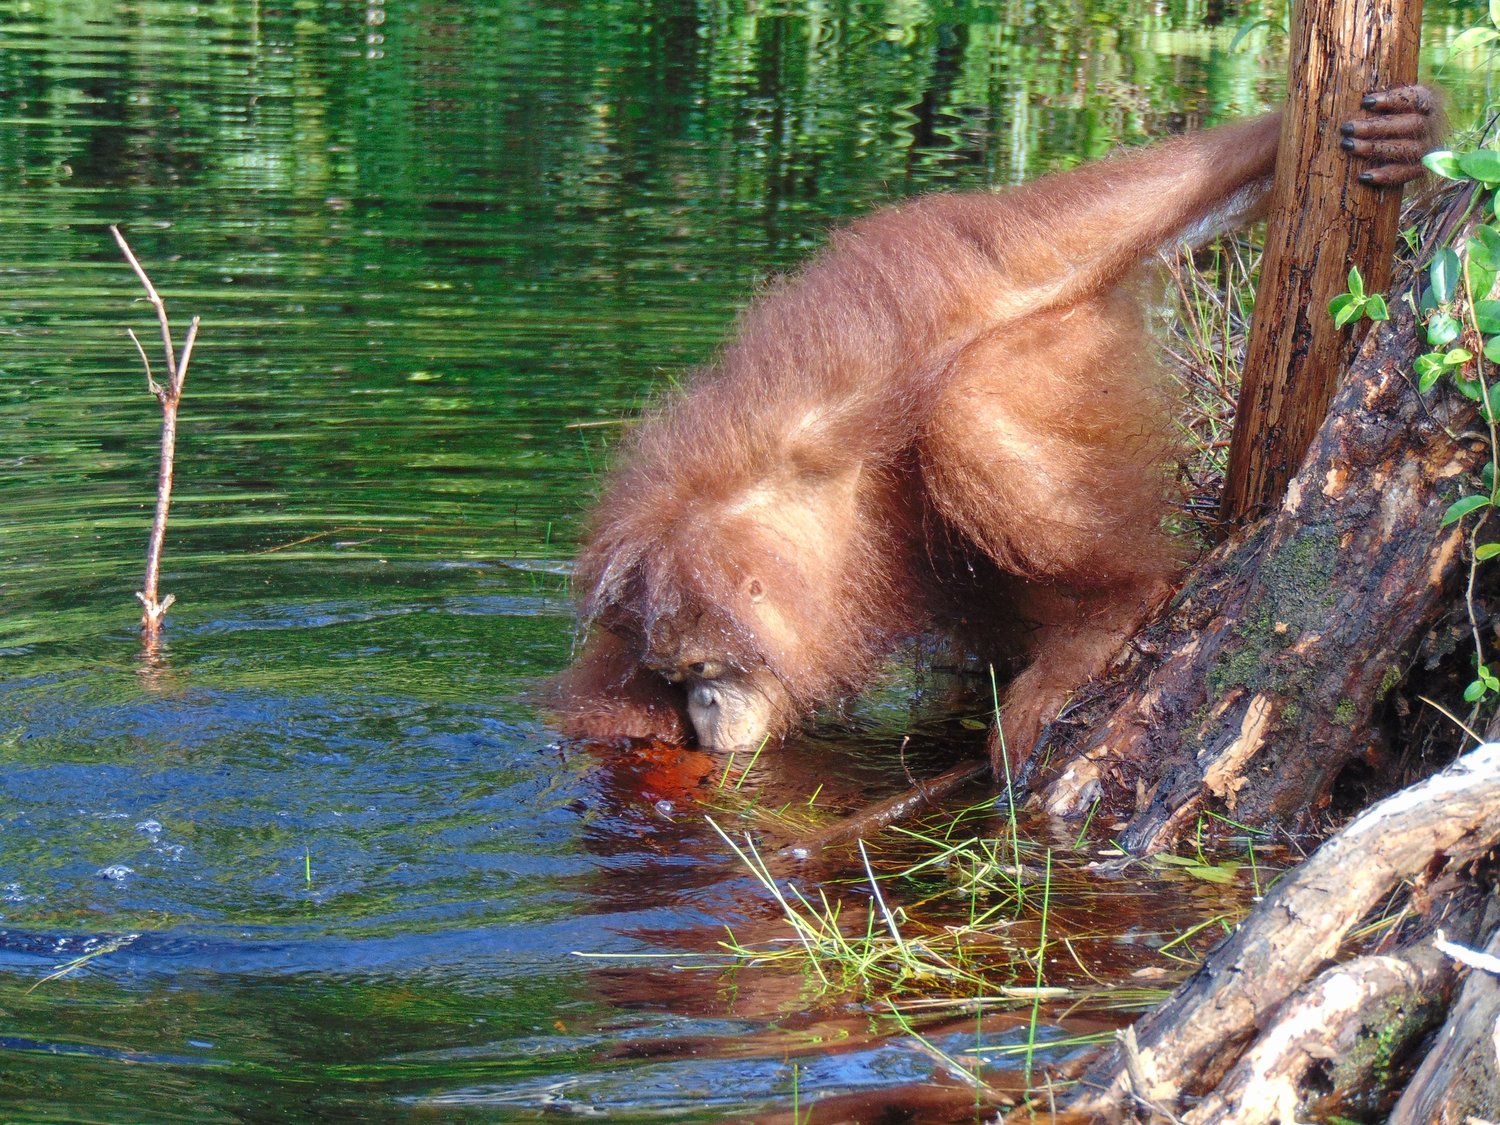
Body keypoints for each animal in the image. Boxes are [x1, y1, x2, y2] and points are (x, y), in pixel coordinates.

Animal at [548, 87, 1440, 776]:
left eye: (705, 669)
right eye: (671, 674)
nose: (701, 705)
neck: (789, 490)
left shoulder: (924, 312)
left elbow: (1089, 225)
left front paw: (1412, 132)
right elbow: (598, 714)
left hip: (1066, 363)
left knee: (967, 413)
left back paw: (1115, 606)